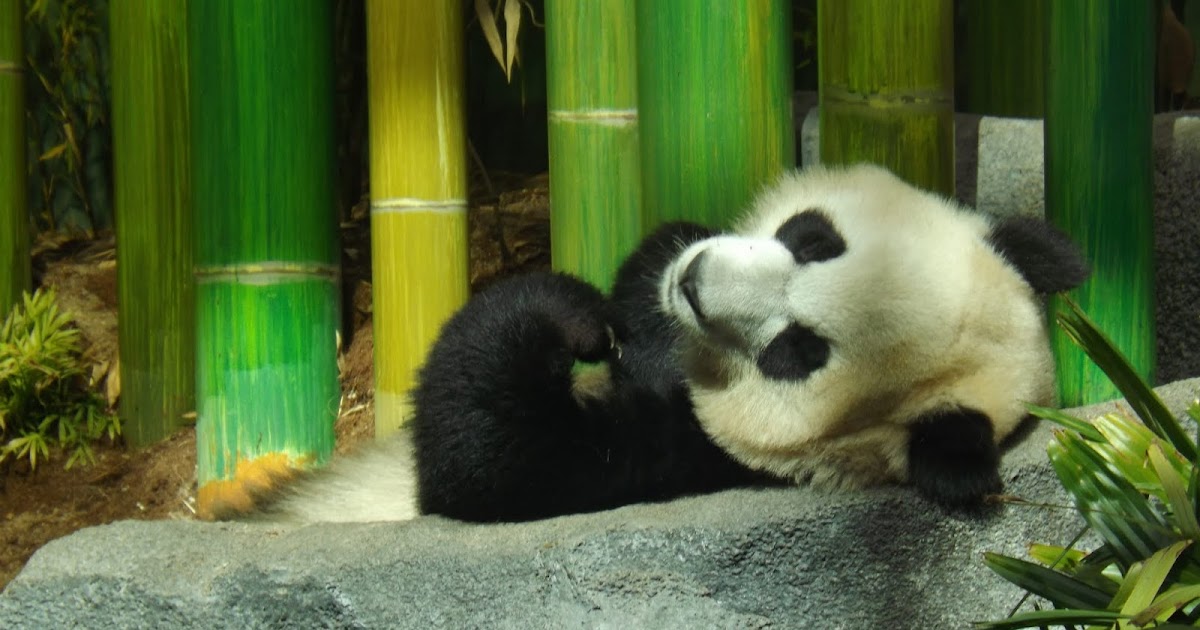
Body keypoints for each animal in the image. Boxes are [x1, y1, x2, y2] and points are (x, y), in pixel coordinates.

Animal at [260, 163, 1089, 524]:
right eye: (814, 240)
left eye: (797, 352)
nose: (693, 283)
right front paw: (635, 295)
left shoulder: (682, 461)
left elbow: (492, 458)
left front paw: (570, 316)